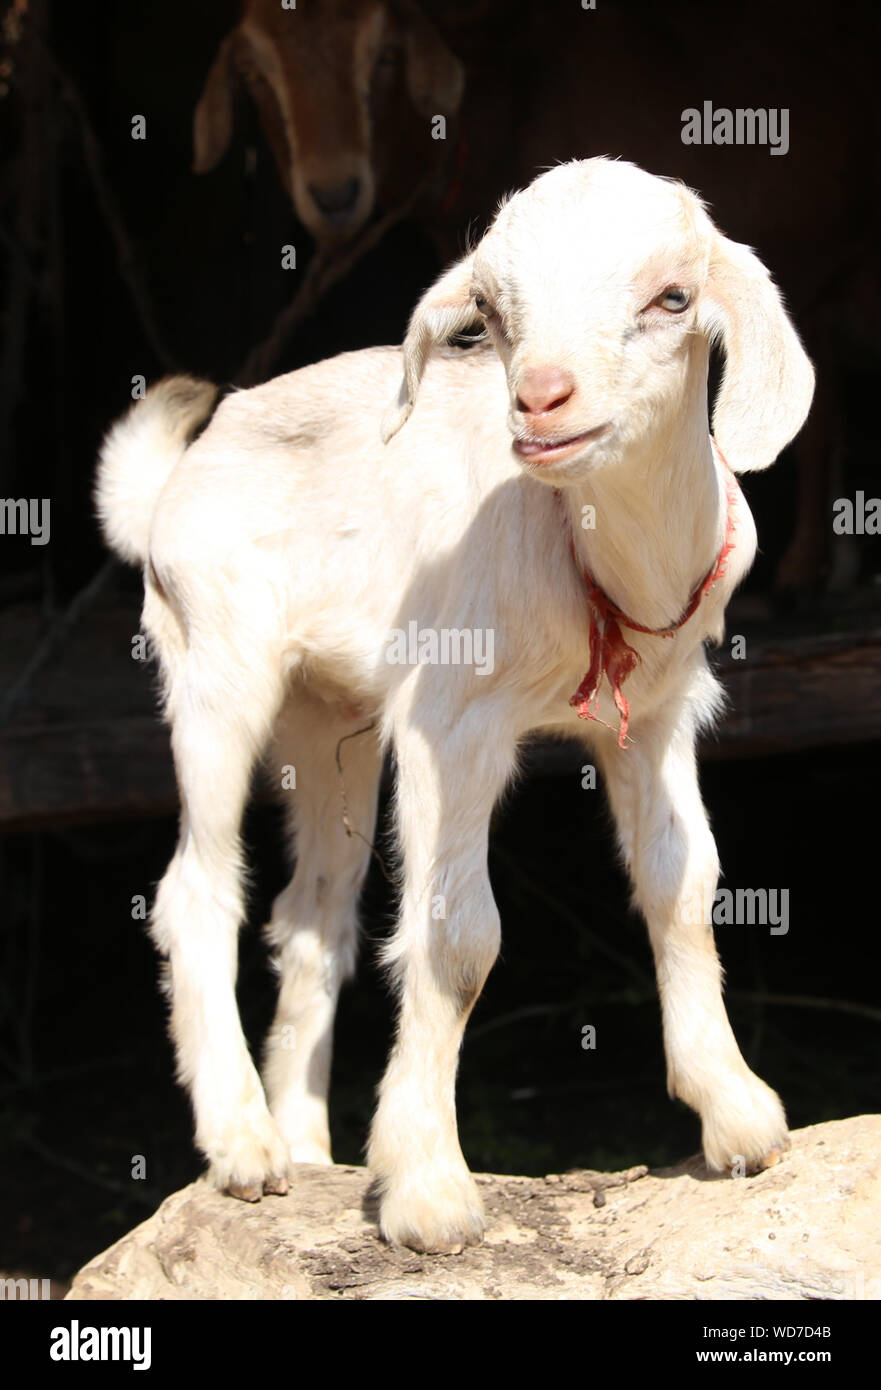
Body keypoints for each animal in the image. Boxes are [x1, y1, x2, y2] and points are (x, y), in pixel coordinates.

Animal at [96, 159, 813, 1253]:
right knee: (195, 892)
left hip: (331, 720)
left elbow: (682, 884)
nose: (540, 399)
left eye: (672, 298)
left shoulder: (654, 717)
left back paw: (306, 1144)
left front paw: (734, 1113)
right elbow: (458, 937)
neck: (598, 557)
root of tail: (176, 474)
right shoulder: (451, 724)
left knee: (311, 915)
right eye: (492, 313)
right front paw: (427, 1186)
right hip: (216, 665)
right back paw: (244, 1144)